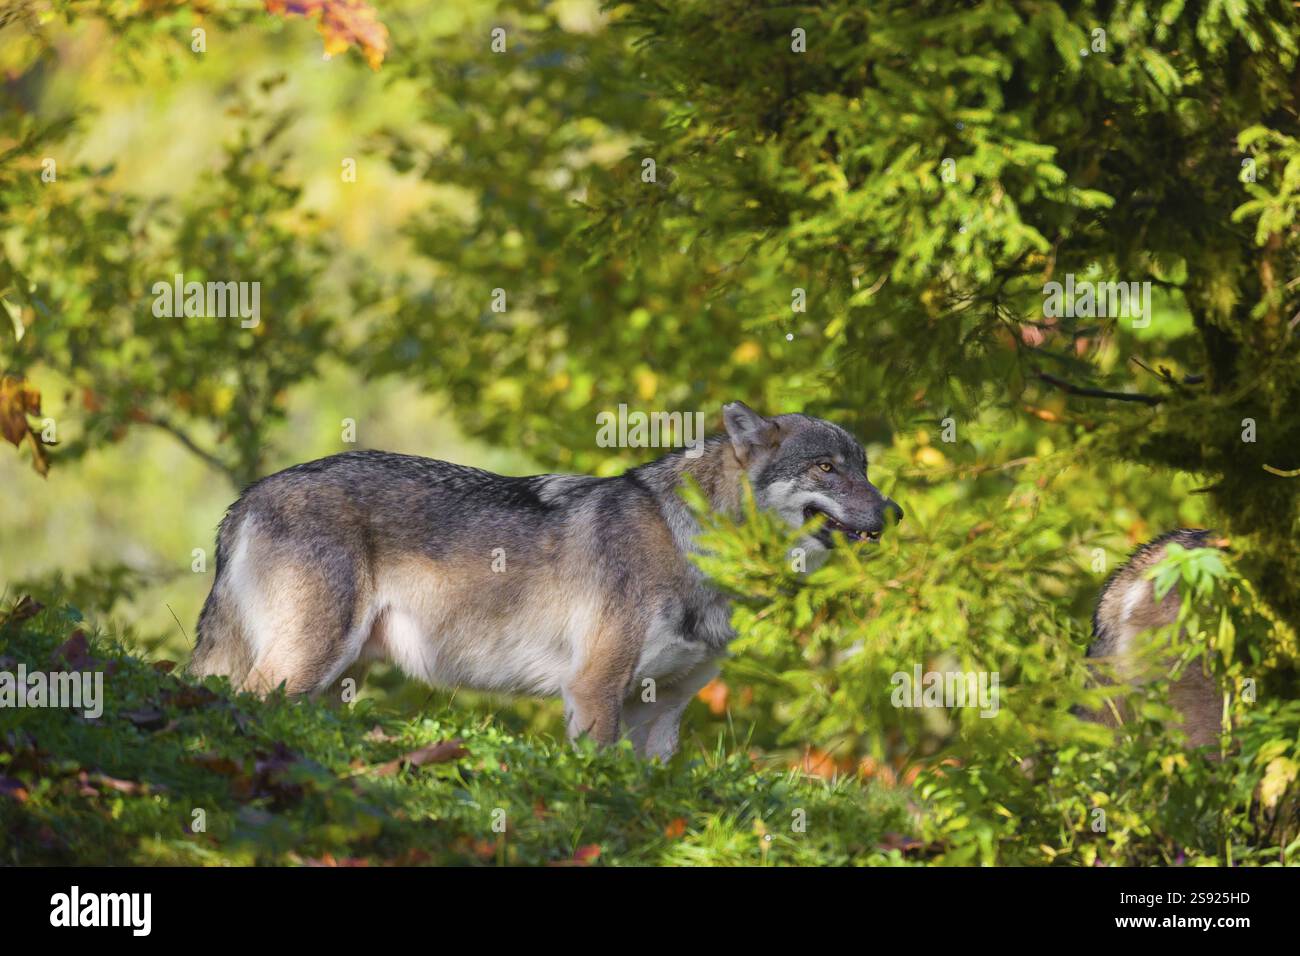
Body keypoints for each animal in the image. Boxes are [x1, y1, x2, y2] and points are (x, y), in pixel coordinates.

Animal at [189, 401, 902, 760]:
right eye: (827, 468)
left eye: (865, 468)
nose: (894, 512)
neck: (694, 546)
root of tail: (245, 499)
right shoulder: (593, 692)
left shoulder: (662, 713)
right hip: (305, 663)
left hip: (336, 680)